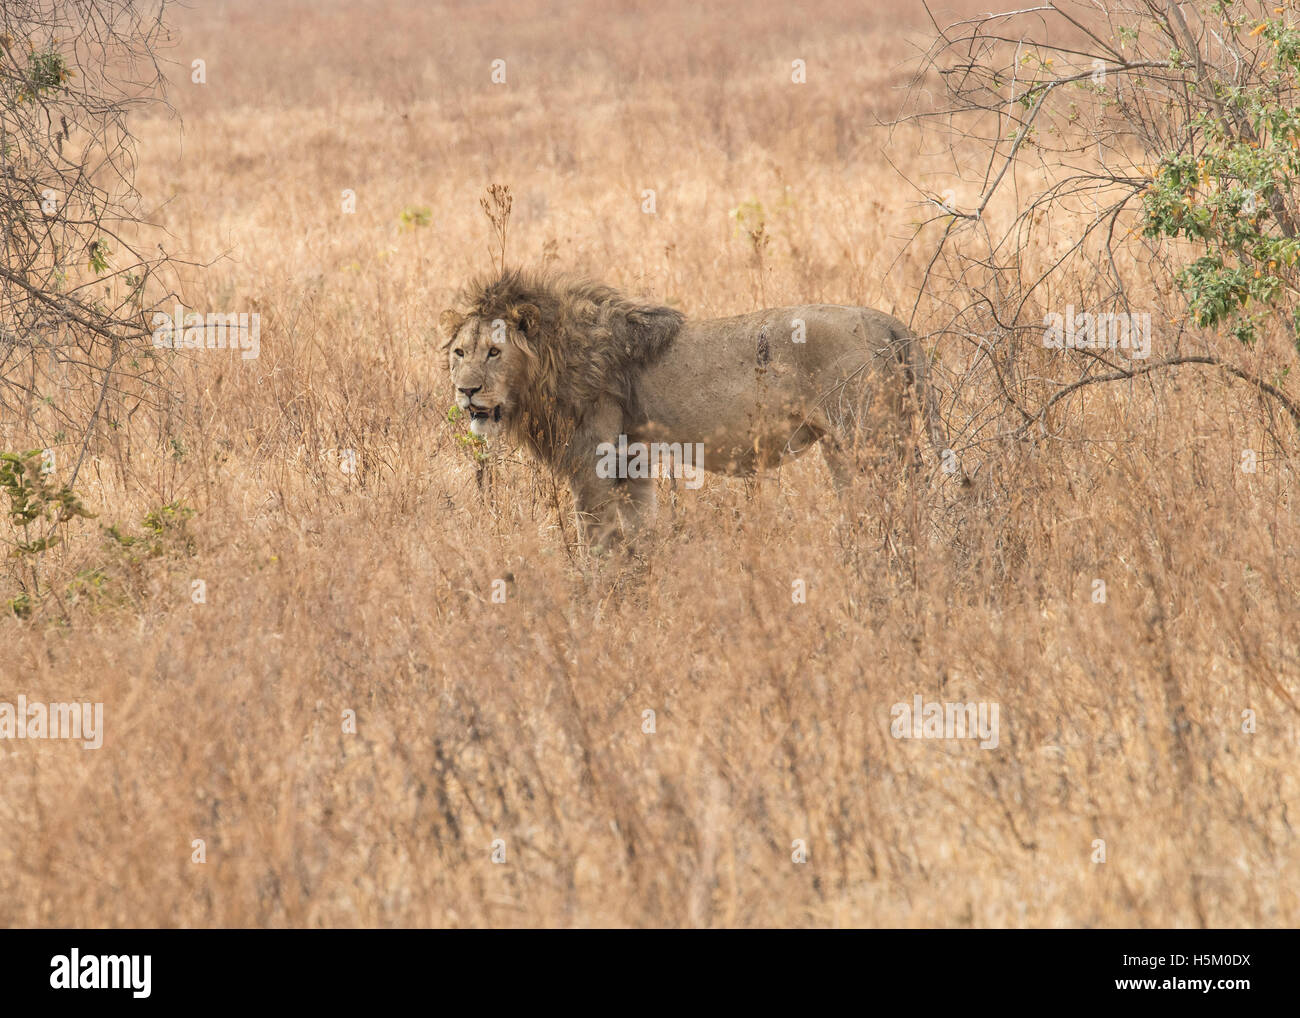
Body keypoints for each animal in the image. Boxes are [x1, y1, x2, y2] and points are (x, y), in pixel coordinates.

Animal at [442, 268, 951, 549]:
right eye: (460, 353)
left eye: (494, 352)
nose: (466, 392)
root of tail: (888, 323)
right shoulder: (632, 457)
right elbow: (636, 527)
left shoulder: (593, 460)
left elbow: (596, 536)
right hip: (843, 447)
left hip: (872, 440)